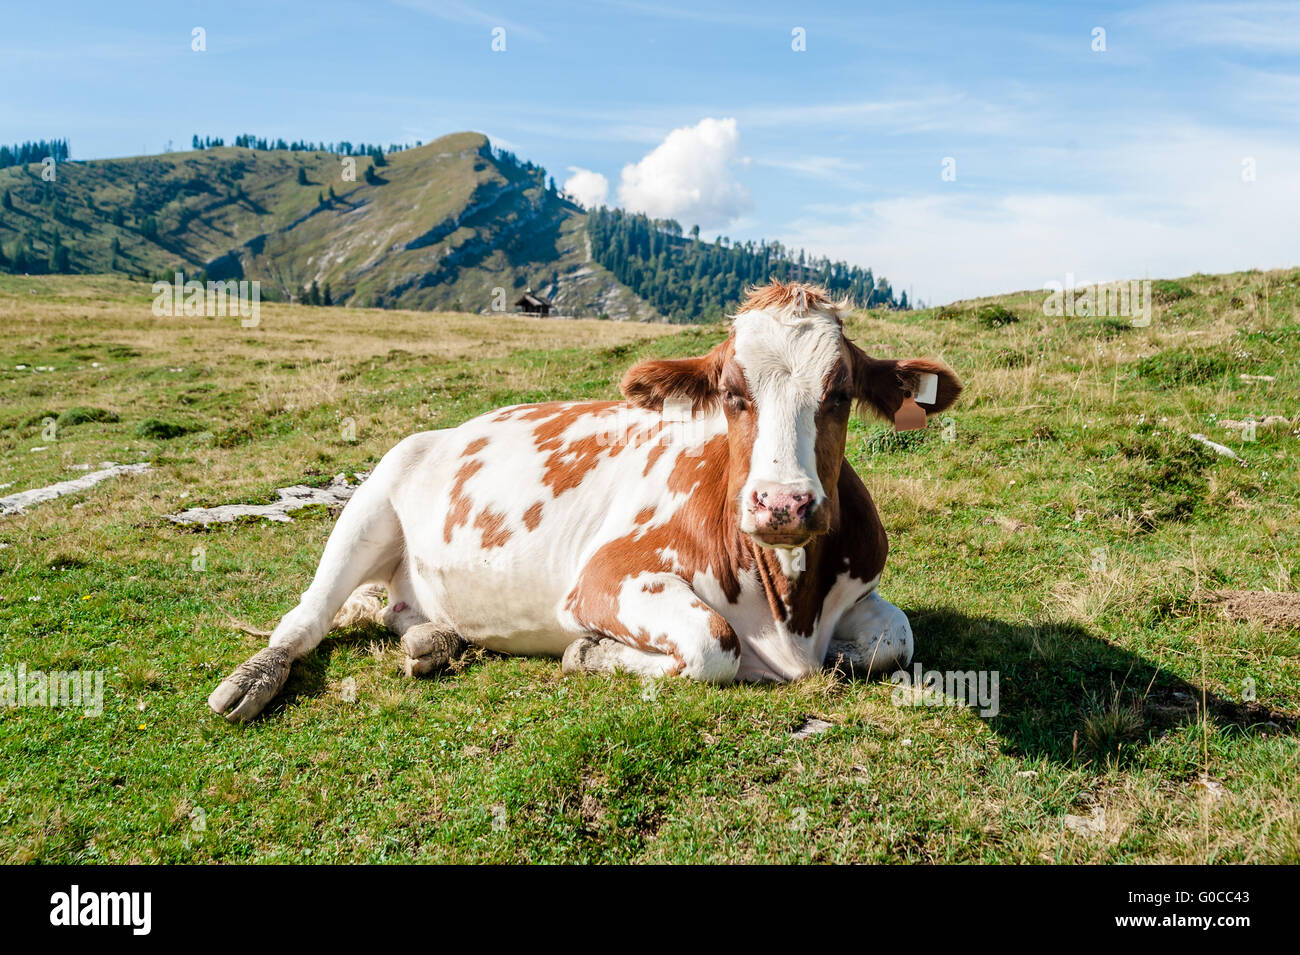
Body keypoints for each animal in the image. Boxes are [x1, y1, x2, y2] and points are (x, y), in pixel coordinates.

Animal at [208, 281, 961, 722]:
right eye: (732, 393)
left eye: (839, 394)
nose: (783, 505)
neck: (789, 610)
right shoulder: (605, 578)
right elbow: (713, 643)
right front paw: (588, 654)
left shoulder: (861, 591)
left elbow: (896, 636)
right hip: (370, 502)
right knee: (305, 618)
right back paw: (252, 681)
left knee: (402, 614)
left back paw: (433, 639)